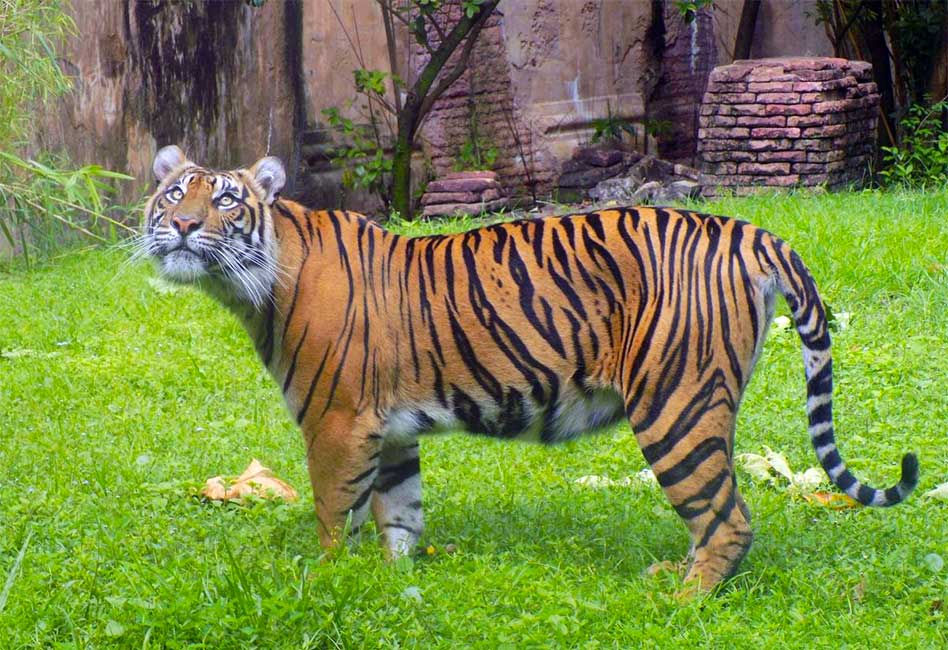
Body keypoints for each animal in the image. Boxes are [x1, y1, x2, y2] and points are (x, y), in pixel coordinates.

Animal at [140, 144, 917, 591]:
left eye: (226, 199)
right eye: (175, 193)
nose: (180, 227)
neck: (251, 284)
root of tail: (746, 228)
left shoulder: (337, 424)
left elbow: (337, 515)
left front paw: (332, 582)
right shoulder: (390, 431)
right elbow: (400, 513)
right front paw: (393, 585)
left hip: (675, 406)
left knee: (729, 519)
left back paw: (681, 602)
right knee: (715, 512)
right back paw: (675, 574)